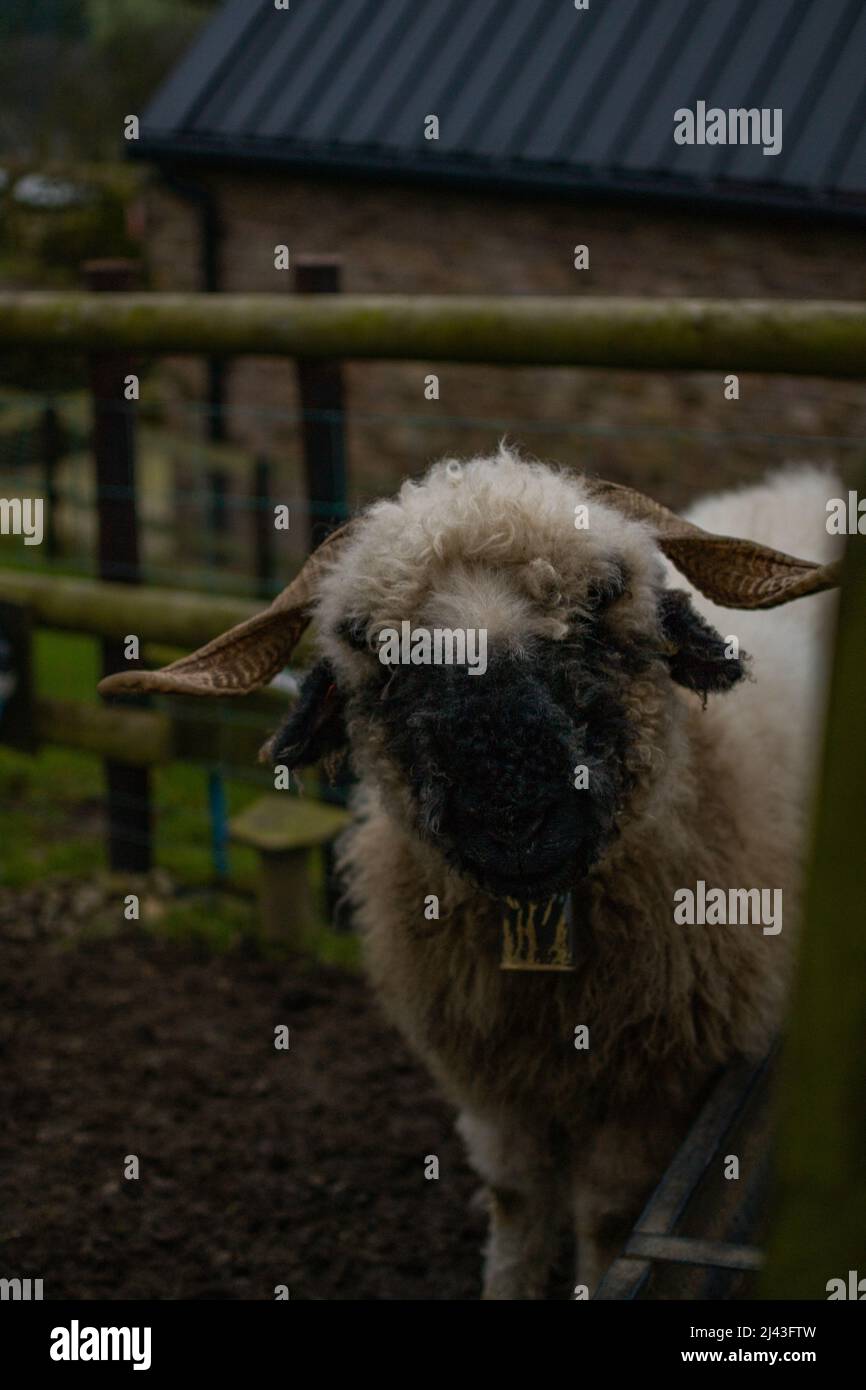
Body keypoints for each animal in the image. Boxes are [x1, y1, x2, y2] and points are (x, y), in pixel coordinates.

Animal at [100, 446, 842, 1298]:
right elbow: (515, 1200)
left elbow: (609, 1221)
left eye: (604, 596)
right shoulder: (493, 1082)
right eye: (367, 643)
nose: (511, 809)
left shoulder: (657, 1092)